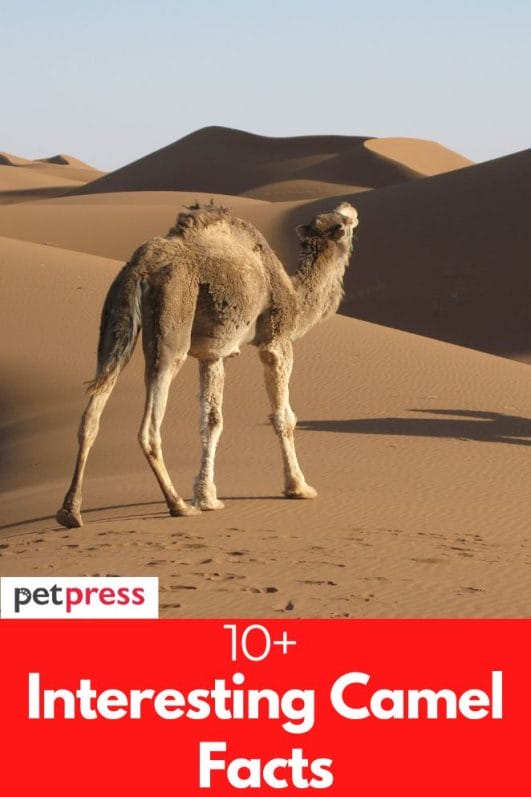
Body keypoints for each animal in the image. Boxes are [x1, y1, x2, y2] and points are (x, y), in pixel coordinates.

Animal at [56, 200, 359, 528]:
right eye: (345, 221)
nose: (350, 207)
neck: (294, 296)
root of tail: (140, 267)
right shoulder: (276, 342)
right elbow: (283, 417)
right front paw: (298, 487)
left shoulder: (213, 355)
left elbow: (212, 421)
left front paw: (207, 497)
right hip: (172, 324)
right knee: (149, 427)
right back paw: (177, 504)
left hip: (114, 322)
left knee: (92, 412)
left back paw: (70, 511)